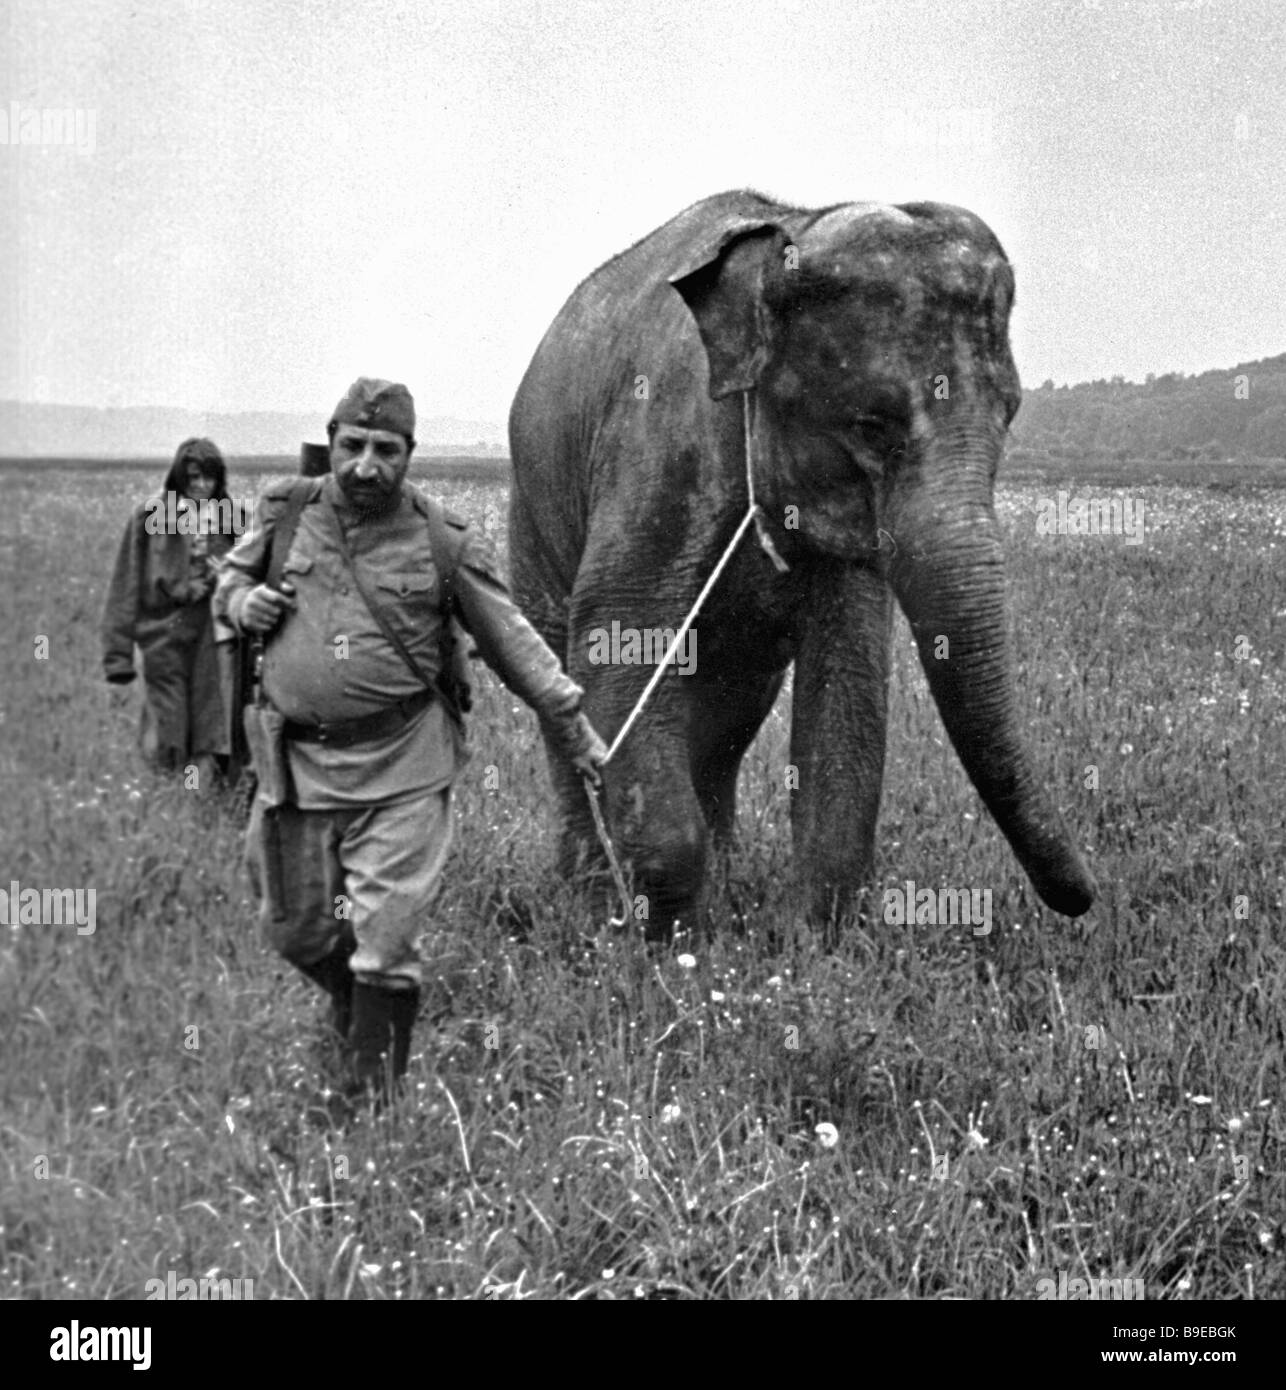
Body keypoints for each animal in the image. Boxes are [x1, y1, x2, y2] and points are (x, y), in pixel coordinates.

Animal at [508, 189, 1096, 933]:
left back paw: (724, 880)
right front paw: (670, 939)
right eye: (870, 425)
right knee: (561, 689)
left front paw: (813, 939)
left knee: (729, 714)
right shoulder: (656, 444)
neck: (794, 229)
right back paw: (587, 895)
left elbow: (848, 670)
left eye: (1010, 417)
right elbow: (617, 639)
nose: (1087, 898)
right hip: (531, 520)